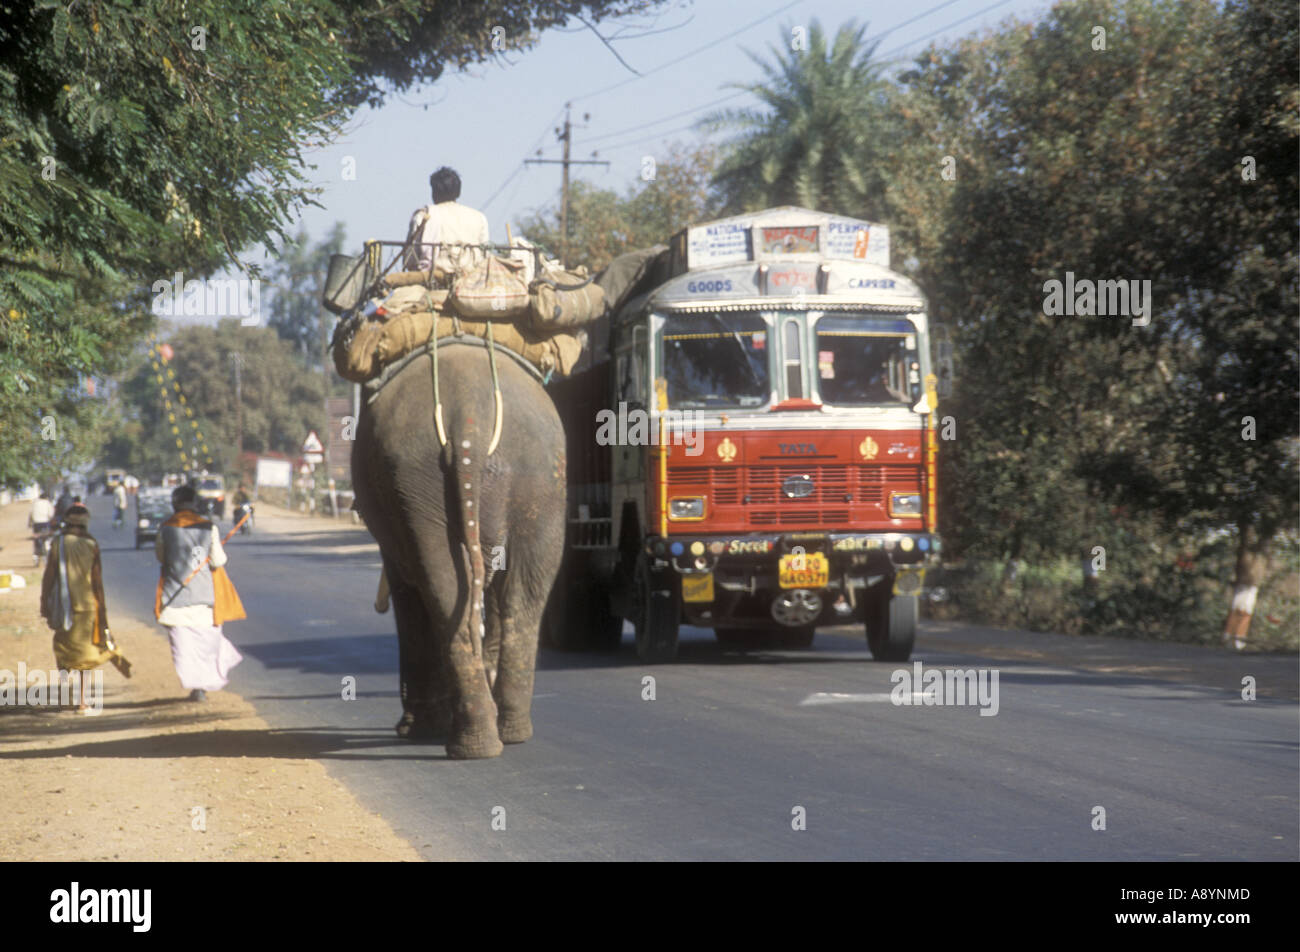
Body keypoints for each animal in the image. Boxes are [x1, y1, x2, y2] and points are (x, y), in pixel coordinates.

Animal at [352, 340, 566, 759]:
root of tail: (469, 419)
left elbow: (406, 590)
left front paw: (413, 730)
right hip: (538, 476)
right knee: (518, 592)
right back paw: (499, 736)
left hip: (417, 479)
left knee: (440, 587)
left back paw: (465, 739)